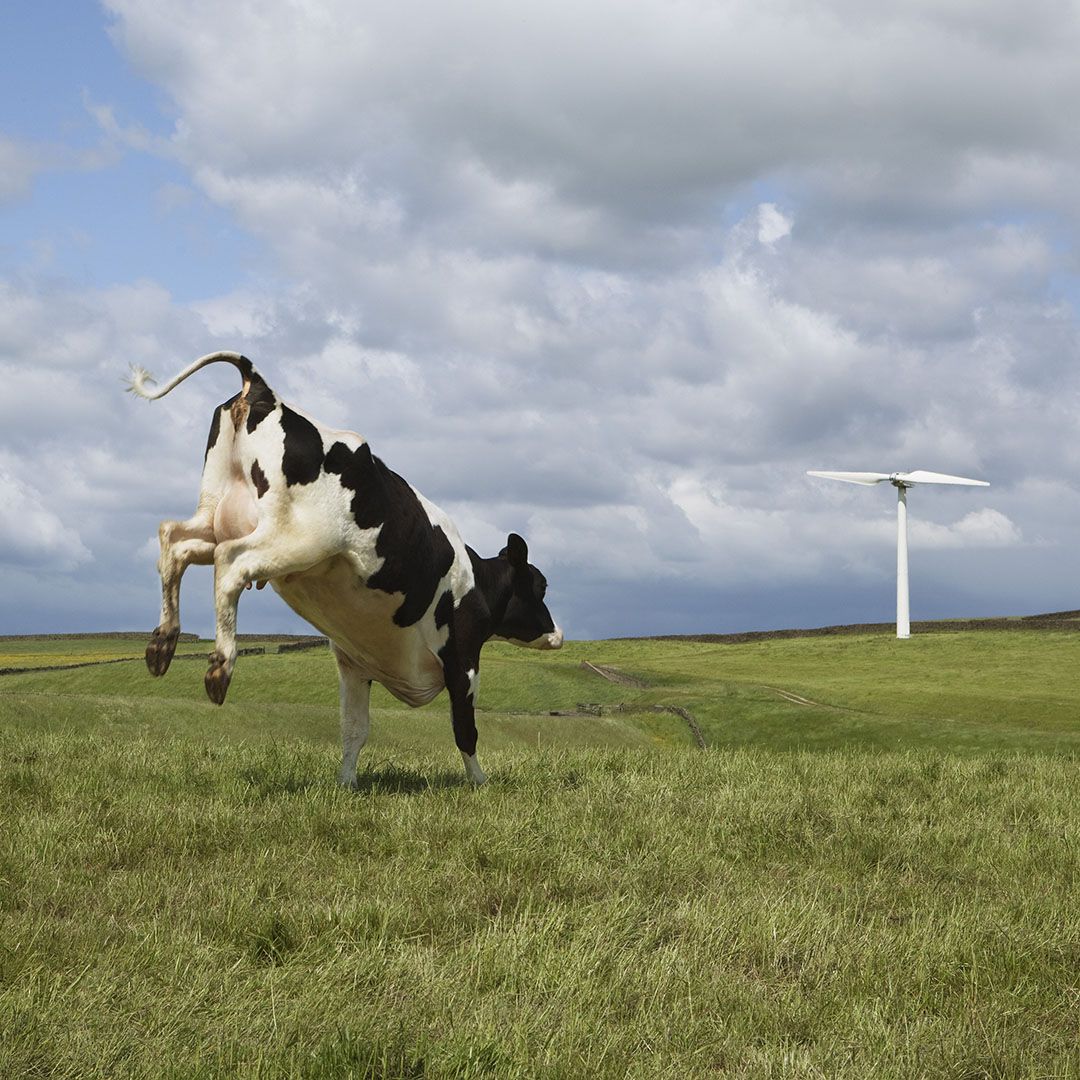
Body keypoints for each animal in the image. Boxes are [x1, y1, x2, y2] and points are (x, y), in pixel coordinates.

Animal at [127, 351, 563, 787]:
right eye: (541, 586)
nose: (558, 633)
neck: (474, 582)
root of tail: (265, 390)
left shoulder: (355, 663)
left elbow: (355, 728)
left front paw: (347, 783)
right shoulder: (464, 660)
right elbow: (465, 729)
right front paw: (480, 782)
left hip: (214, 515)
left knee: (174, 541)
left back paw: (161, 645)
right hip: (294, 538)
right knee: (231, 563)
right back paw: (220, 667)